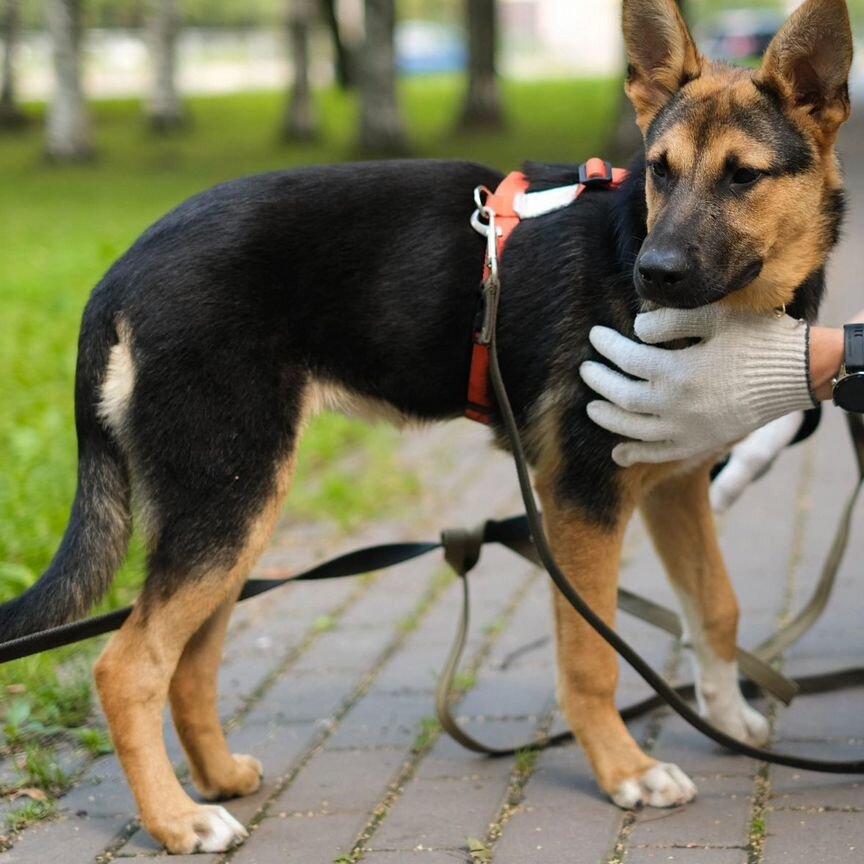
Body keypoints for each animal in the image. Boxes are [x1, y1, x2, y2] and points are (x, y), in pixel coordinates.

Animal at [0, 0, 852, 852]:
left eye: (743, 176)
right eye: (660, 170)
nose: (655, 273)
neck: (731, 317)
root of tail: (120, 273)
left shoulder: (676, 485)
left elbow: (717, 609)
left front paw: (728, 719)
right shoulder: (583, 499)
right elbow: (593, 657)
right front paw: (625, 773)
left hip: (237, 504)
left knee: (190, 659)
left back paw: (214, 781)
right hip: (227, 498)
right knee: (129, 665)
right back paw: (178, 821)